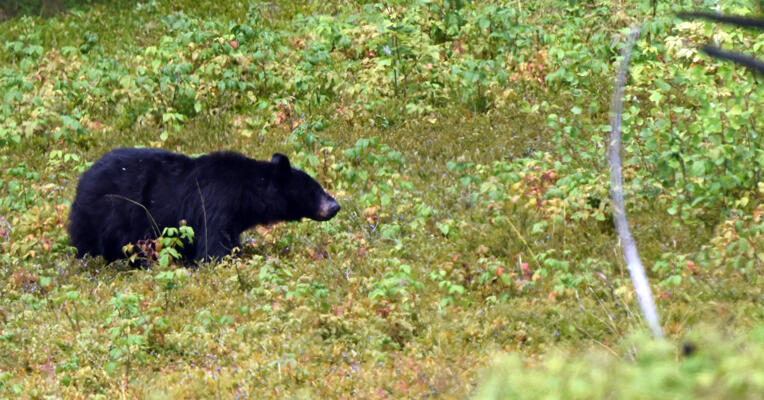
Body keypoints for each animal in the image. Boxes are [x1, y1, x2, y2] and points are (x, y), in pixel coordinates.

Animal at [68, 148, 340, 262]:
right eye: (316, 188)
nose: (335, 205)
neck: (245, 192)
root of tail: (83, 179)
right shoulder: (214, 204)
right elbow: (213, 246)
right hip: (106, 214)